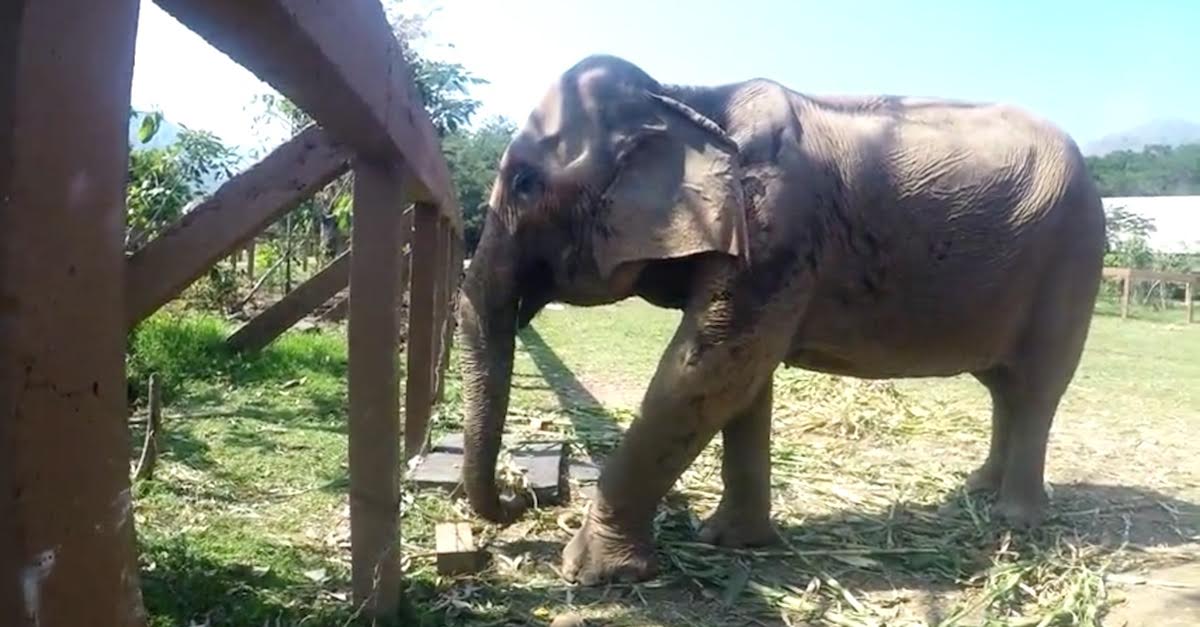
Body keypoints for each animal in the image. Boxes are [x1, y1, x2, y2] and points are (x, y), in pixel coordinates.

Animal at [455, 54, 1106, 586]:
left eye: (525, 183)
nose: (523, 498)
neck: (685, 98)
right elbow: (741, 380)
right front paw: (730, 542)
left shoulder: (777, 225)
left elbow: (711, 367)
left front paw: (591, 574)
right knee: (1003, 388)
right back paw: (977, 489)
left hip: (1073, 259)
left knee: (1036, 387)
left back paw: (1014, 520)